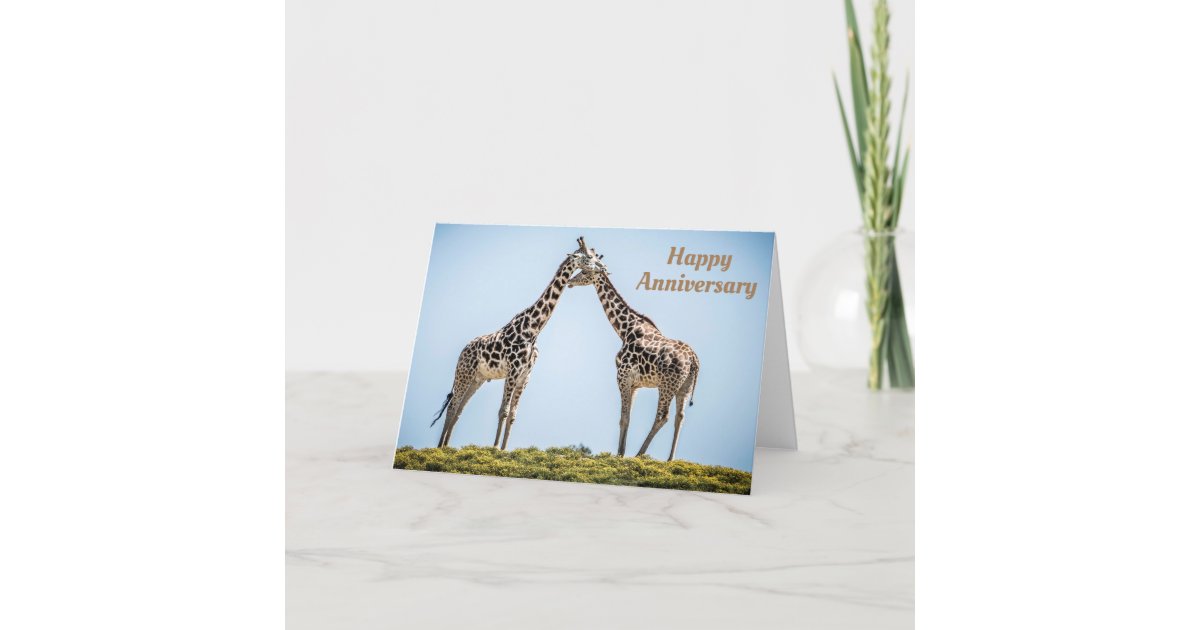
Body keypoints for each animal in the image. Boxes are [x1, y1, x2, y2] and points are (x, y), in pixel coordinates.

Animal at [431, 237, 605, 450]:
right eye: (588, 258)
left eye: (596, 257)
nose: (603, 268)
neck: (533, 329)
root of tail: (462, 352)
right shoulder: (513, 371)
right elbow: (503, 411)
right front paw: (495, 448)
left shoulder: (525, 376)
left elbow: (513, 415)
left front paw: (504, 449)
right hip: (464, 374)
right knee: (452, 406)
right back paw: (438, 448)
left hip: (477, 379)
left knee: (459, 410)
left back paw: (446, 447)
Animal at [567, 250, 700, 461]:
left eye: (585, 271)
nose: (570, 281)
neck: (624, 328)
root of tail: (694, 360)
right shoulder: (635, 383)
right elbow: (628, 417)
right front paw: (620, 453)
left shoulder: (622, 376)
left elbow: (623, 418)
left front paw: (619, 454)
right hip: (685, 386)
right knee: (680, 417)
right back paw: (670, 460)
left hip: (667, 384)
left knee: (662, 416)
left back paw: (639, 454)